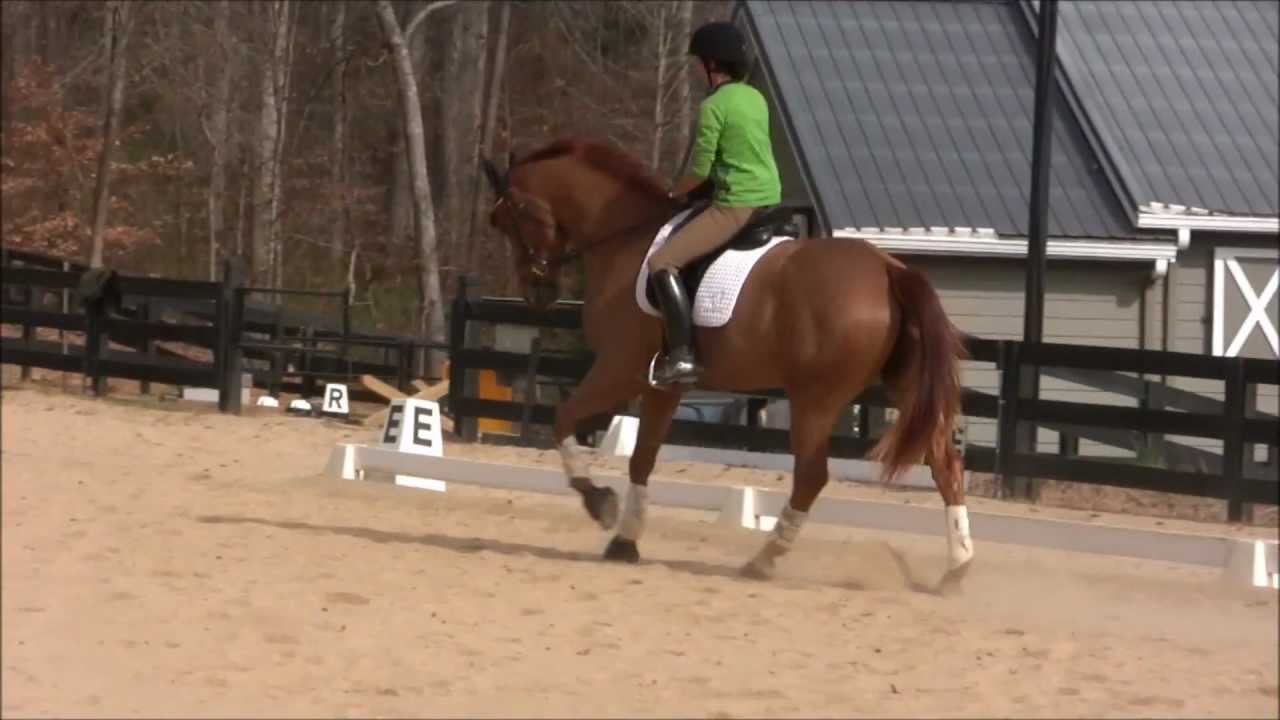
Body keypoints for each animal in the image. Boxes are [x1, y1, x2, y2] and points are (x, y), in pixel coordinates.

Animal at [480, 137, 974, 584]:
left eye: (507, 219)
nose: (537, 292)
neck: (625, 237)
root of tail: (889, 269)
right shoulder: (664, 385)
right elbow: (642, 459)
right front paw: (625, 541)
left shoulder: (619, 370)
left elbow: (563, 419)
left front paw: (599, 503)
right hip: (904, 387)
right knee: (945, 464)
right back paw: (957, 568)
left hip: (814, 399)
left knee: (811, 477)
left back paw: (764, 560)